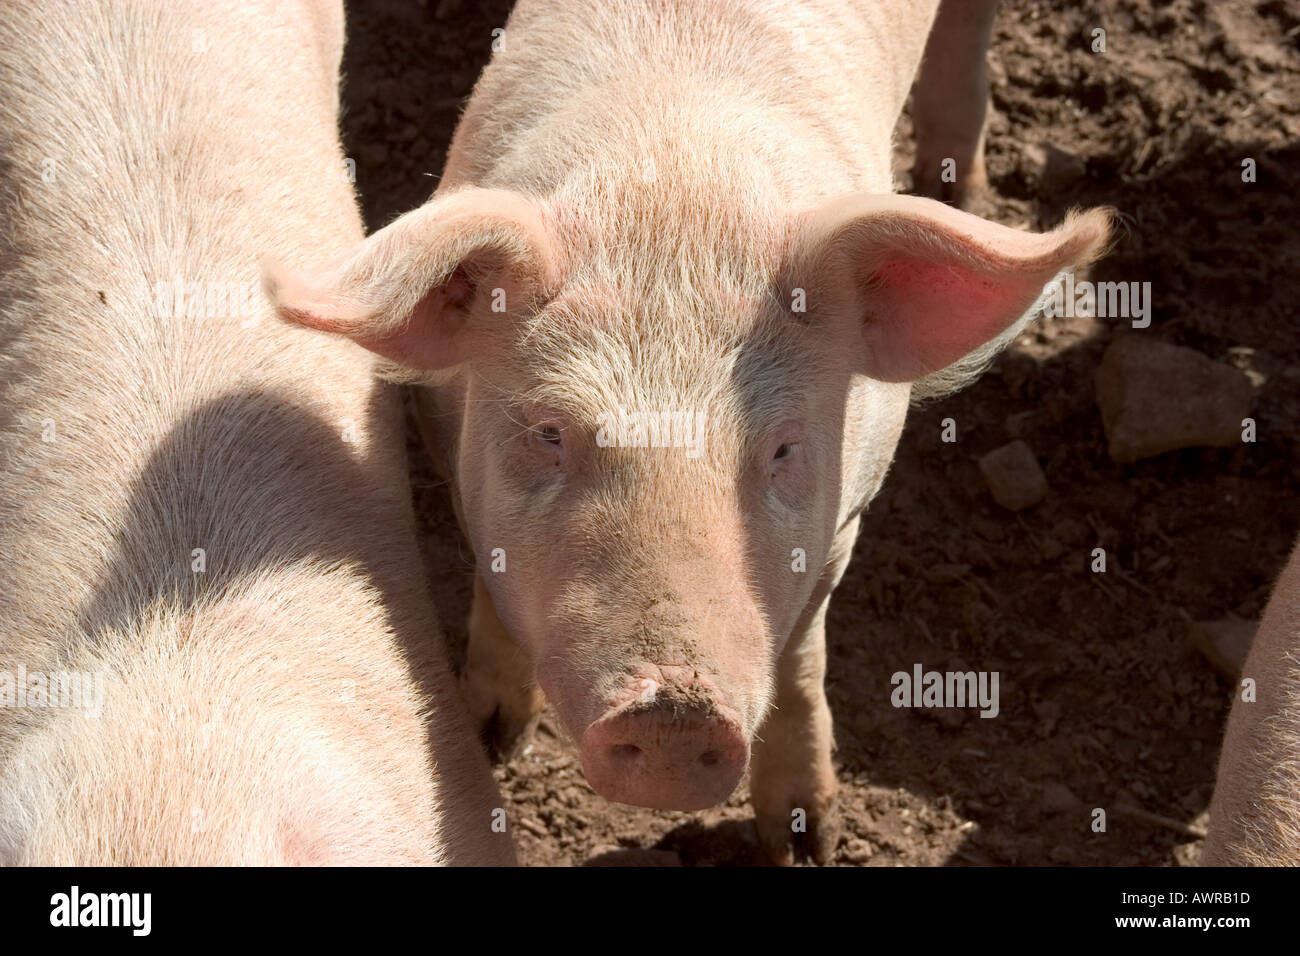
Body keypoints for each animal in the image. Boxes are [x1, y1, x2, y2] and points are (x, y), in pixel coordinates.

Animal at [266, 0, 1110, 864]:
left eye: (783, 447)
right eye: (548, 431)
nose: (674, 714)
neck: (673, 183)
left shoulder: (848, 513)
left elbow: (799, 661)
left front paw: (807, 842)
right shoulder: (446, 444)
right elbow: (491, 586)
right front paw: (489, 735)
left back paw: (970, 192)